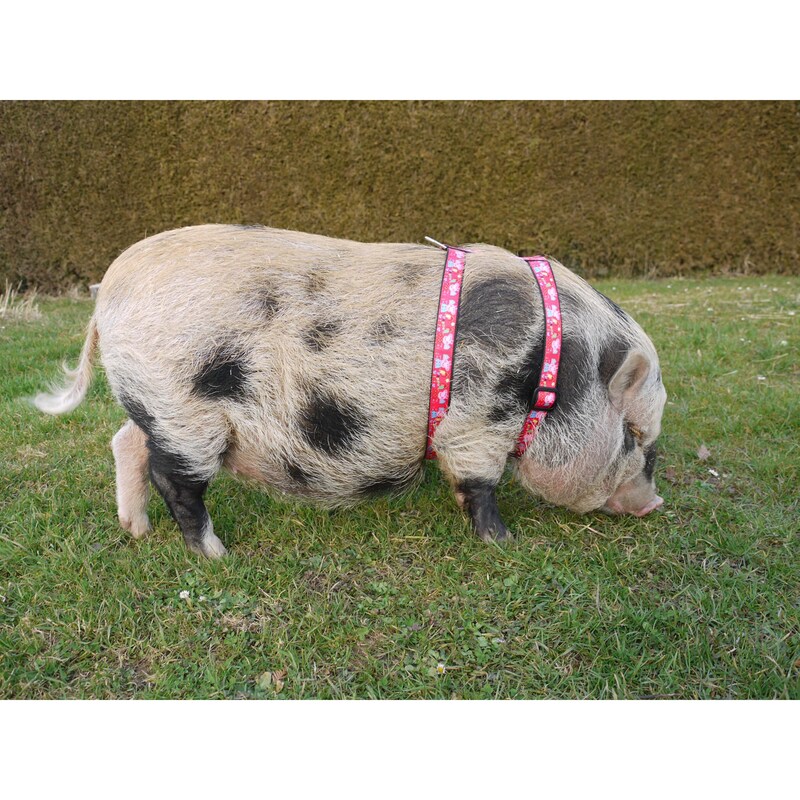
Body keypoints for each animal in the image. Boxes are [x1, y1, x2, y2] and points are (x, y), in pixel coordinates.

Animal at [33, 225, 666, 557]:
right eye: (635, 434)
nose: (654, 504)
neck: (550, 369)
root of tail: (108, 291)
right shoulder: (479, 418)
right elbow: (478, 484)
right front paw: (503, 542)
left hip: (156, 404)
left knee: (125, 442)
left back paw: (135, 532)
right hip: (185, 408)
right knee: (176, 480)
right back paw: (216, 554)